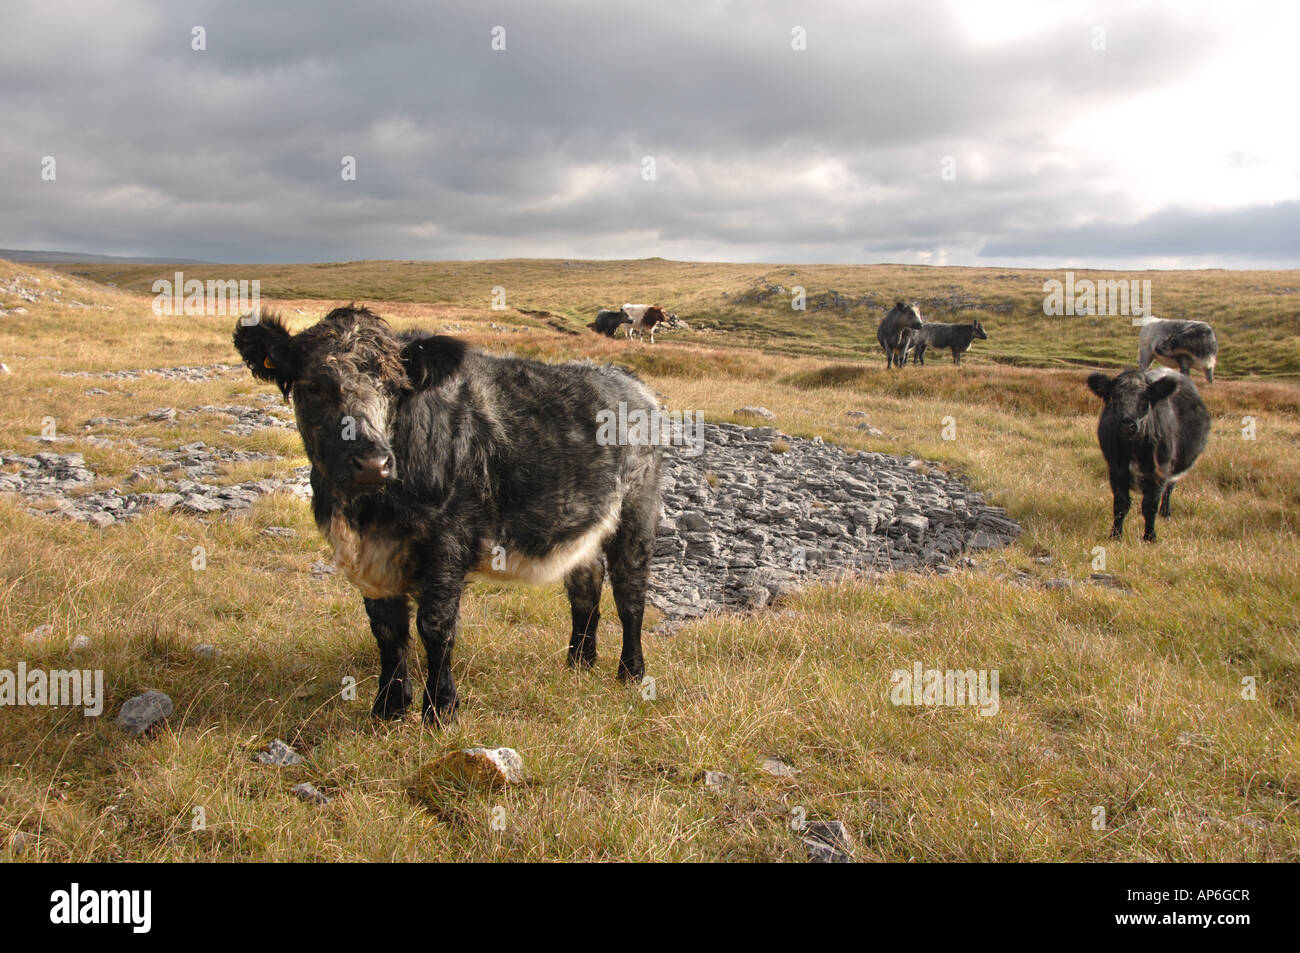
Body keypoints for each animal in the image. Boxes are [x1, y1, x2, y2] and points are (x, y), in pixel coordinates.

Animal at [233, 305, 663, 725]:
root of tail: (628, 380)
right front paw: (388, 708)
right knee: (585, 588)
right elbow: (387, 629)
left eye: (395, 387)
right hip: (583, 521)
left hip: (637, 511)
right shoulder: (372, 555)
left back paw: (631, 672)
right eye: (314, 386)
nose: (372, 464)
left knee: (629, 593)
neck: (370, 509)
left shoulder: (447, 542)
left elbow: (435, 627)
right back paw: (578, 664)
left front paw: (440, 709)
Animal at [1086, 366, 1210, 543]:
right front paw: (1115, 535)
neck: (1134, 447)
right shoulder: (1116, 470)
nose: (1128, 424)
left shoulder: (1160, 471)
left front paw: (1150, 537)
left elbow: (1150, 505)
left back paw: (1165, 514)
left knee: (1168, 490)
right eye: (1115, 398)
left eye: (1145, 399)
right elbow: (1120, 505)